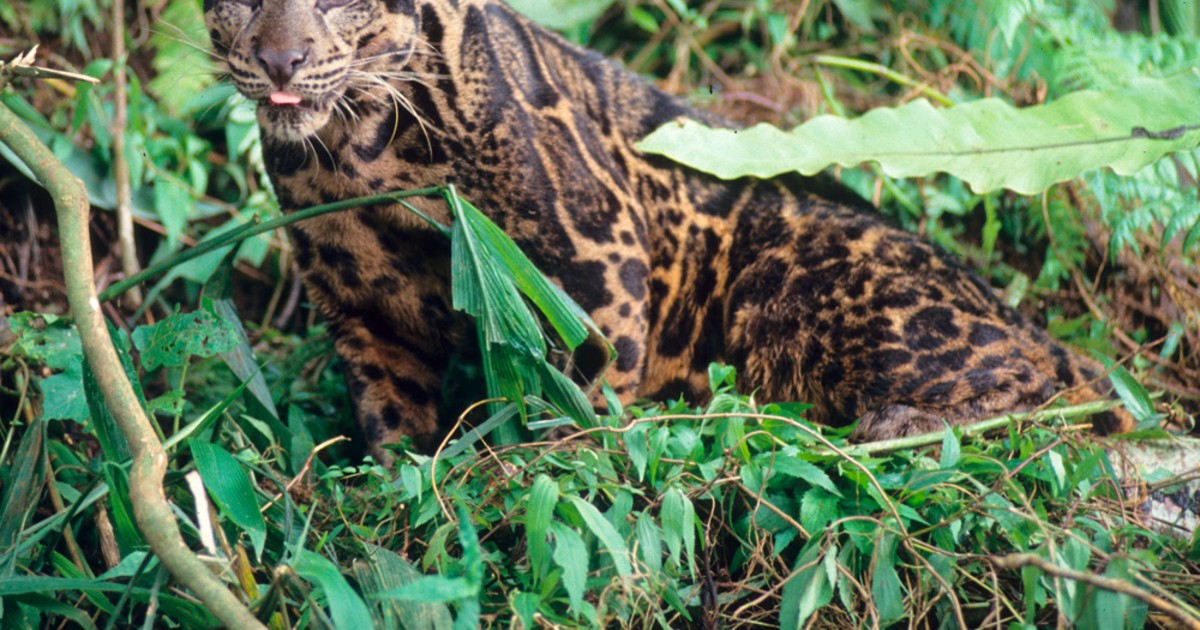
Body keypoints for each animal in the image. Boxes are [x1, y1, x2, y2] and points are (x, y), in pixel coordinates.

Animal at [203, 0, 1134, 461]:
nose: (282, 60)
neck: (354, 150)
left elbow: (582, 392)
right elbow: (389, 419)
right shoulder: (363, 307)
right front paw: (403, 494)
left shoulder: (596, 252)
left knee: (1054, 392)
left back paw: (888, 425)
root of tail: (1020, 312)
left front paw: (538, 473)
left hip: (791, 274)